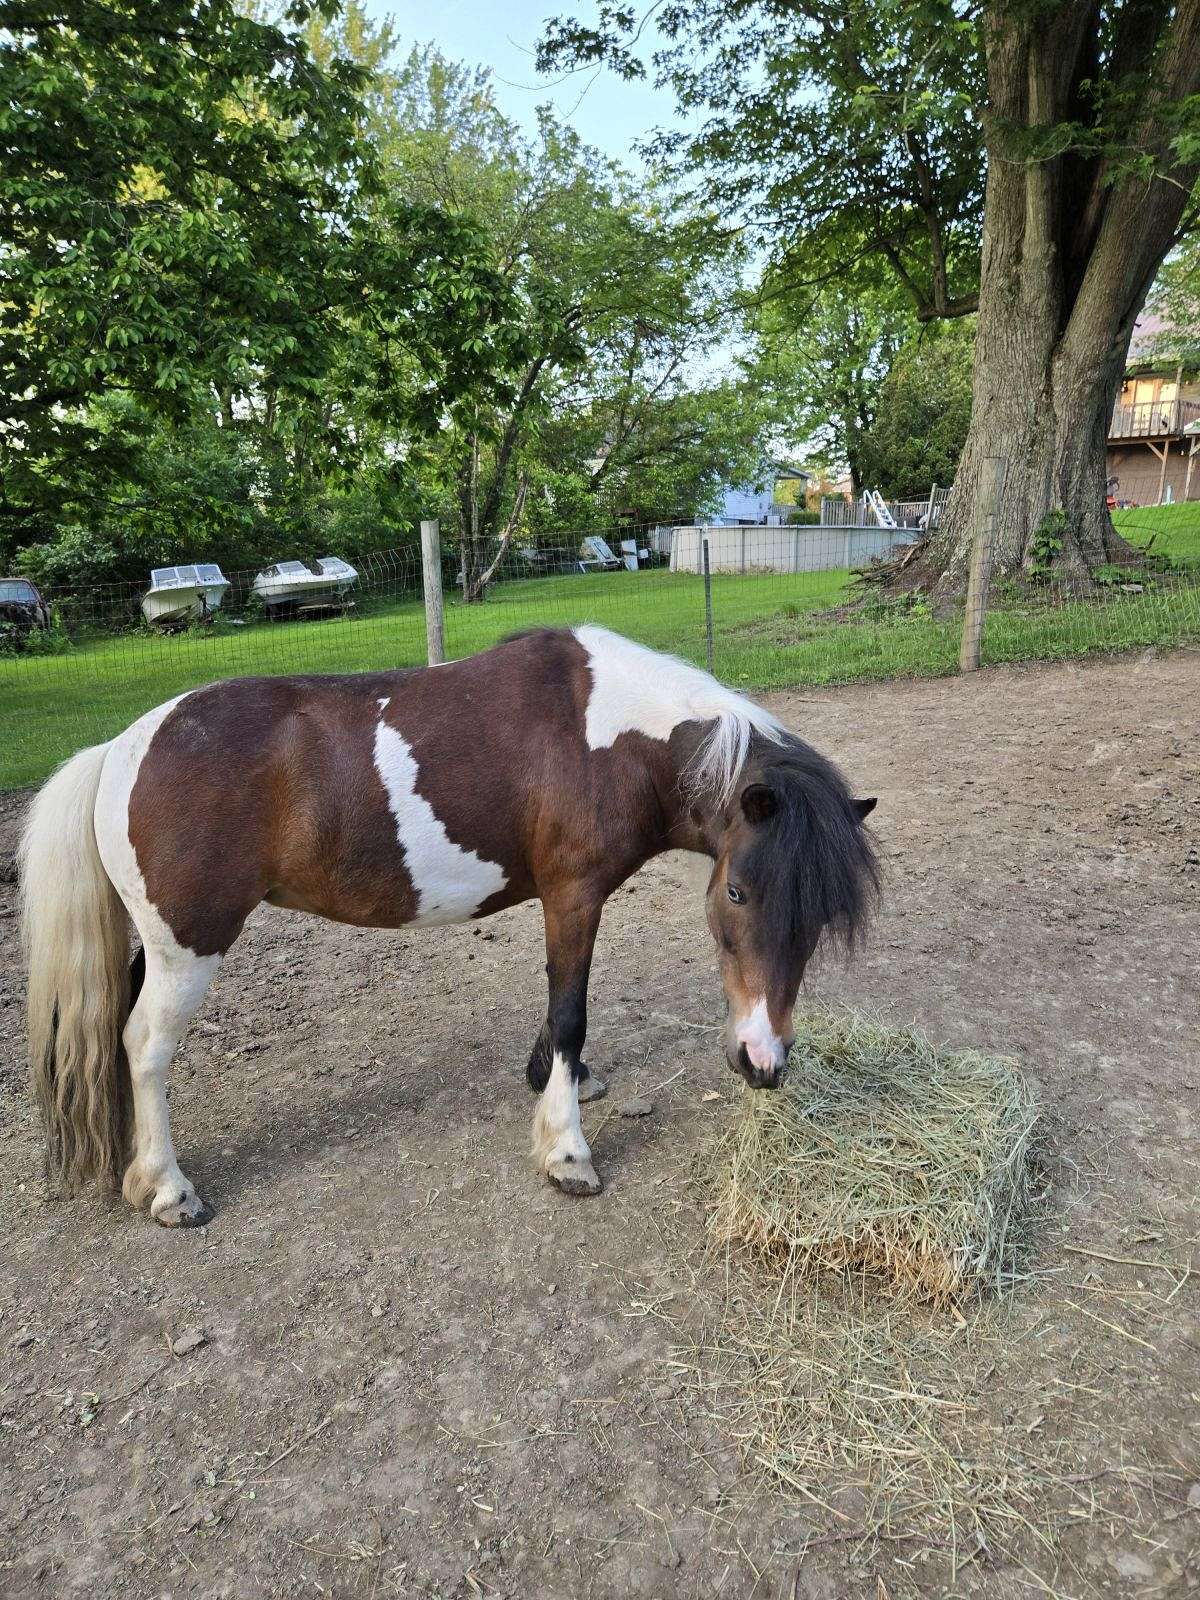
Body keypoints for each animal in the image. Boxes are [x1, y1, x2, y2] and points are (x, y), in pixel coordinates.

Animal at [19, 626, 879, 1227]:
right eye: (736, 892)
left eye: (821, 914)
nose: (763, 1062)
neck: (609, 736)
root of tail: (121, 748)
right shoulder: (574, 895)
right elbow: (571, 1008)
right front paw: (565, 1148)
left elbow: (559, 1017)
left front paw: (564, 1079)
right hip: (186, 947)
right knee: (143, 1046)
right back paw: (168, 1188)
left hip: (155, 946)